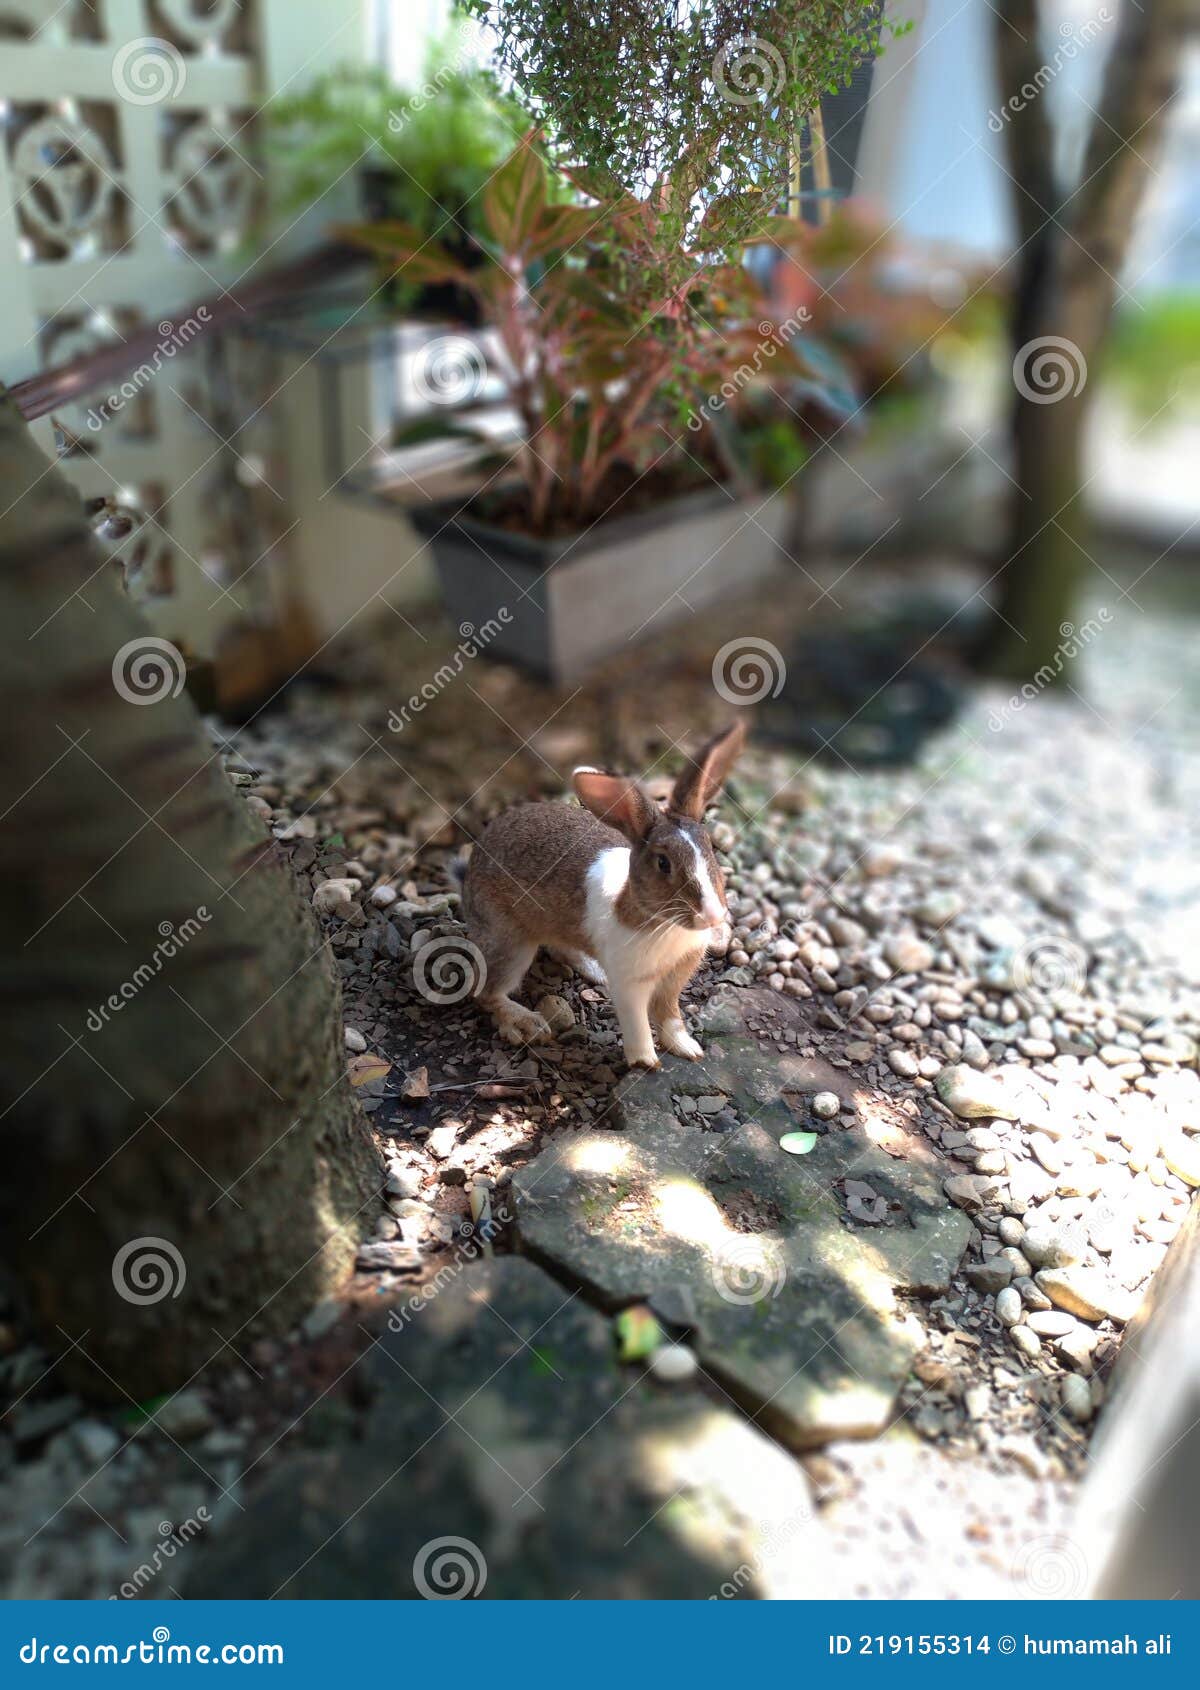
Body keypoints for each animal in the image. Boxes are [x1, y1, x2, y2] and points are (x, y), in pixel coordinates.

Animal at [460, 721, 745, 1069]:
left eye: (711, 849)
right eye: (663, 863)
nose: (713, 916)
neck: (663, 924)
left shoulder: (676, 976)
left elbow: (669, 1015)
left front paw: (687, 1048)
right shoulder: (630, 985)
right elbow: (637, 1024)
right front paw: (646, 1063)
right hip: (510, 942)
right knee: (487, 994)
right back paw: (528, 1025)